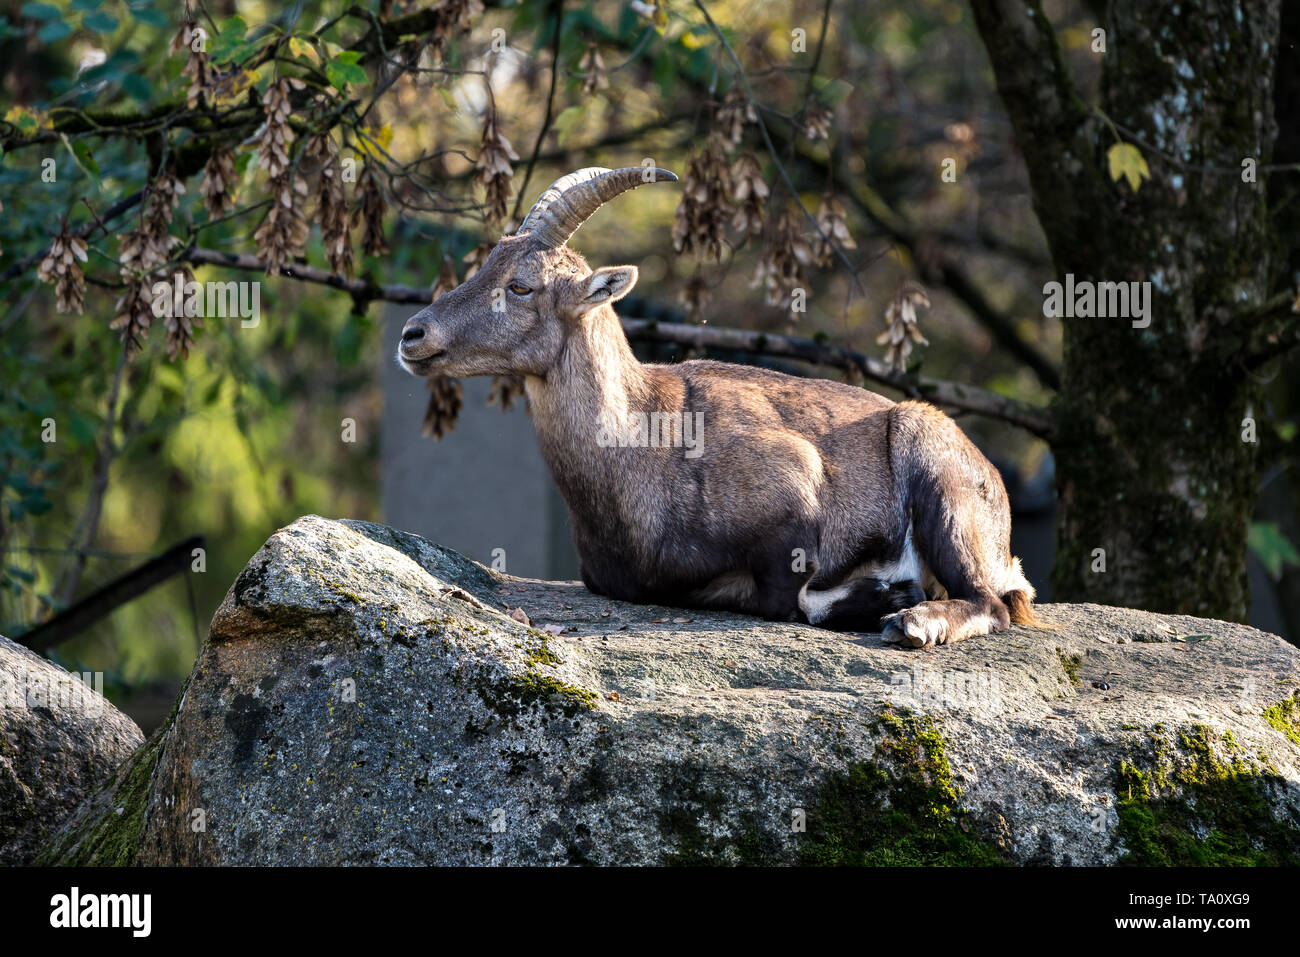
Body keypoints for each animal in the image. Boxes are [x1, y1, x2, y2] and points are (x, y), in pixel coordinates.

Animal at [397, 167, 1040, 647]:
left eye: (521, 285)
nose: (413, 334)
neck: (640, 443)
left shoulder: (795, 492)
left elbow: (787, 598)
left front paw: (884, 594)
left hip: (934, 468)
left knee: (990, 603)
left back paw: (913, 620)